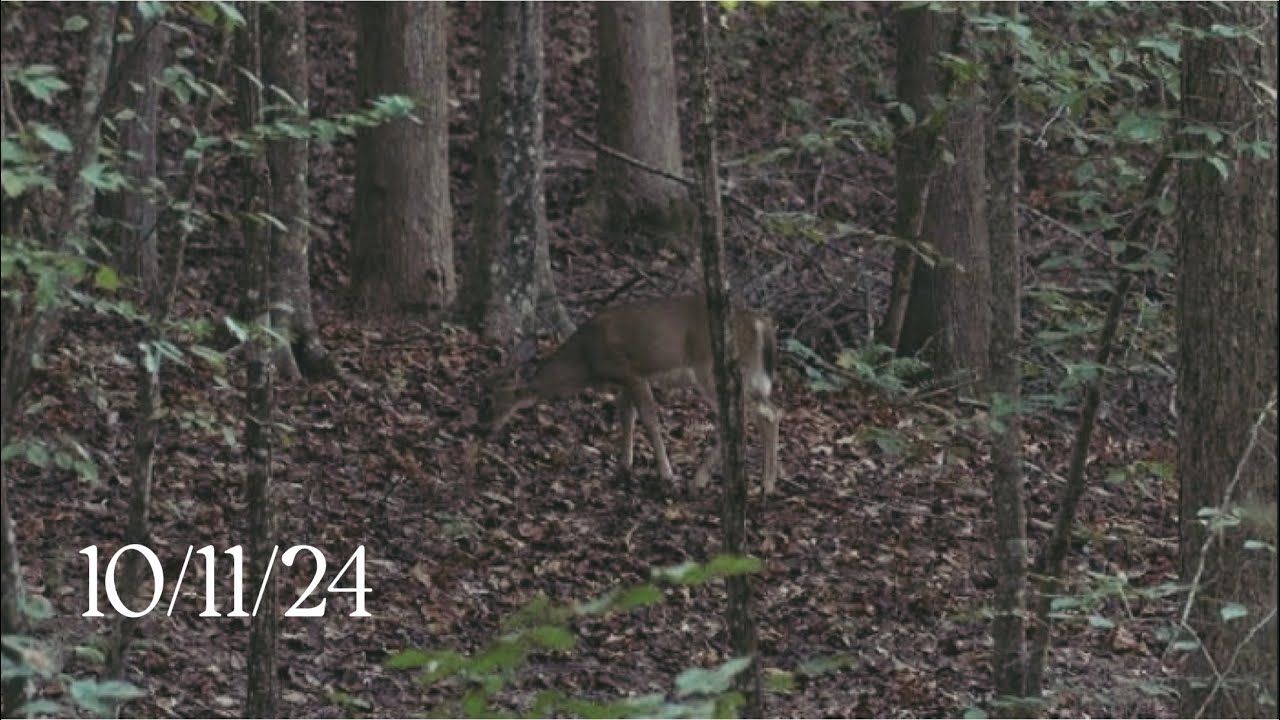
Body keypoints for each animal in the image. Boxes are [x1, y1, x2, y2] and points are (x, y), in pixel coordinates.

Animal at [484, 294, 781, 494]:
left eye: (492, 400)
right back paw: (766, 485)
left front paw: (666, 475)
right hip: (746, 373)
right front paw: (623, 467)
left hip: (711, 368)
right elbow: (626, 417)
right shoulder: (625, 382)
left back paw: (701, 480)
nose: (480, 427)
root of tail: (759, 323)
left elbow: (649, 420)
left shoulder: (631, 372)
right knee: (768, 412)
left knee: (746, 415)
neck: (586, 362)